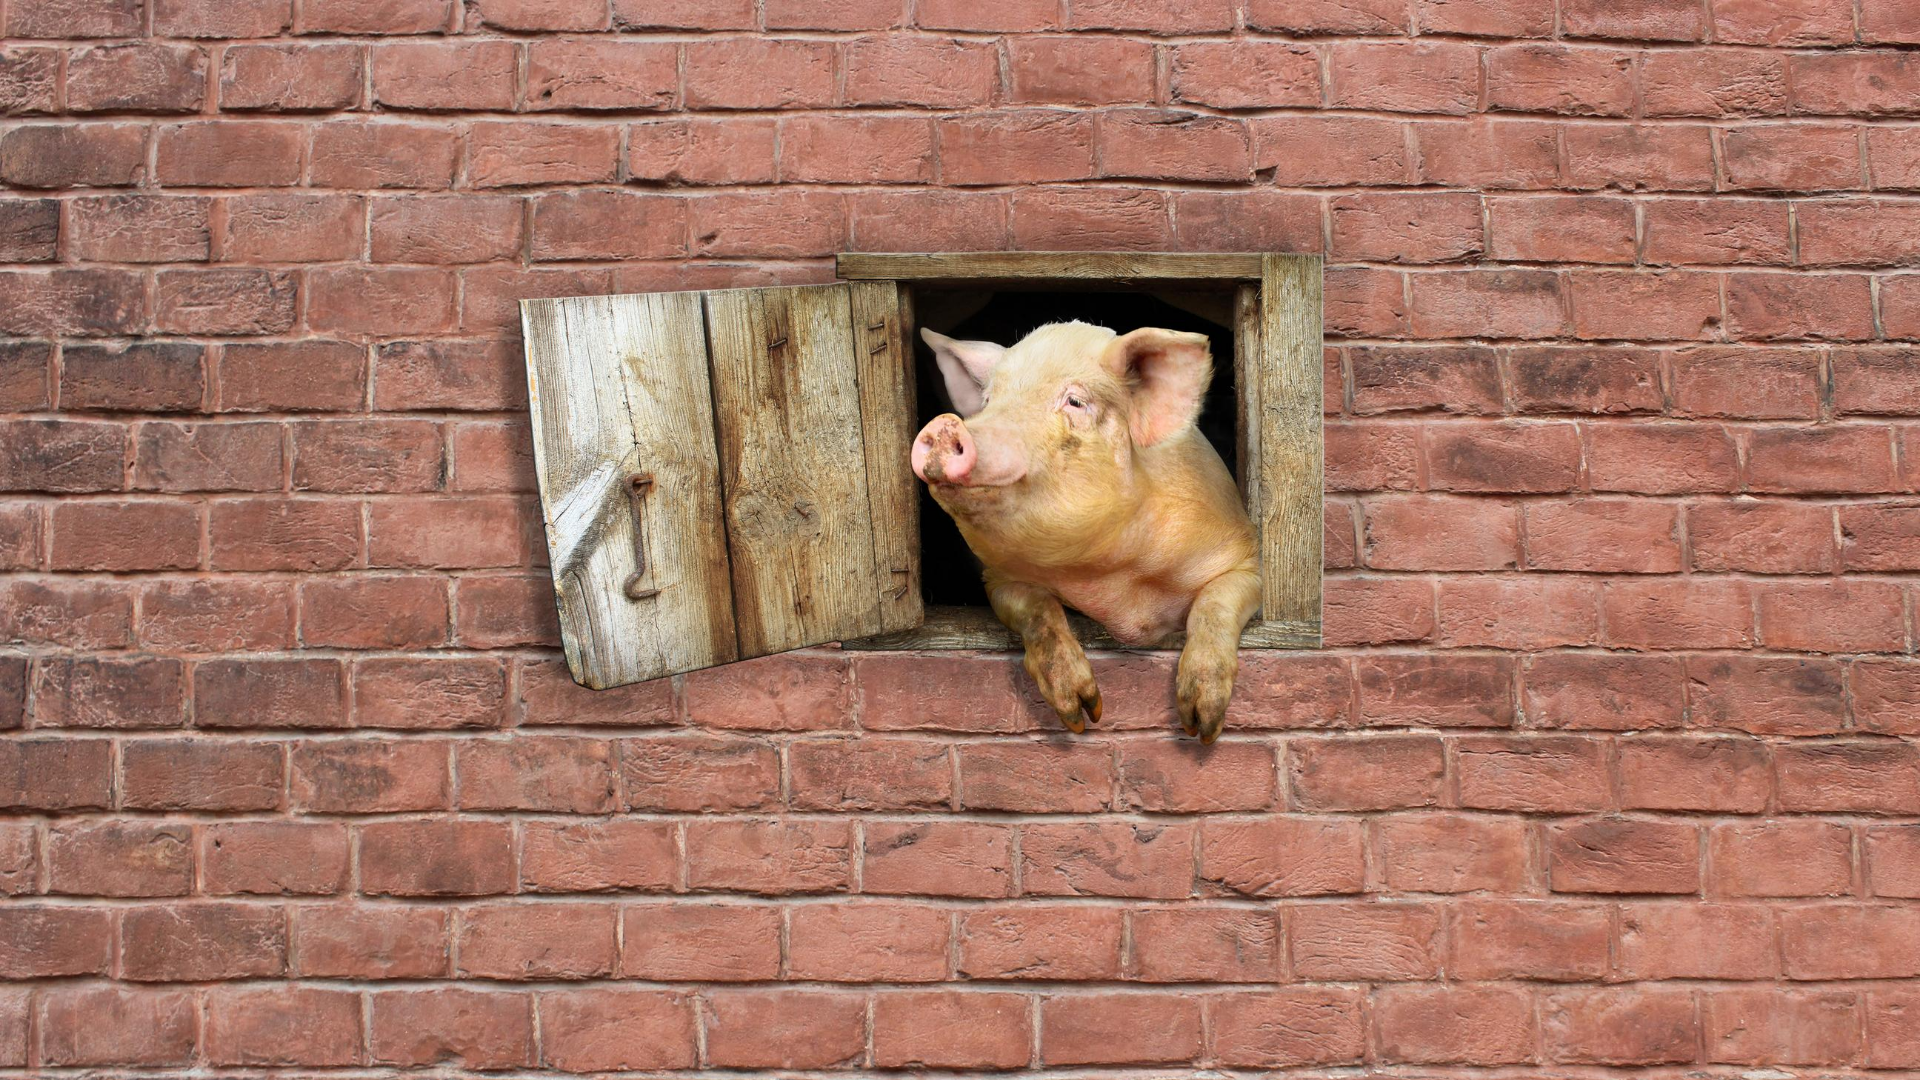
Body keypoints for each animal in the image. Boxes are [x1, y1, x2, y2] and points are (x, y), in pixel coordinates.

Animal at [911, 321, 1260, 743]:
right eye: (990, 400)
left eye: (1075, 402)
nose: (945, 425)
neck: (1116, 585)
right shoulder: (999, 579)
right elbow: (1037, 610)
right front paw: (1082, 716)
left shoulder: (1244, 556)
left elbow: (1215, 603)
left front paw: (1202, 727)